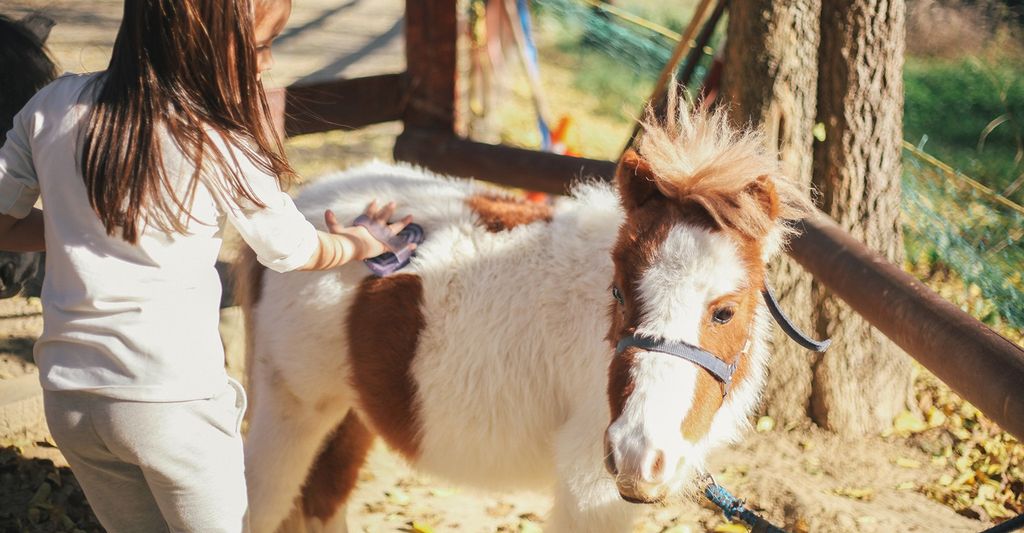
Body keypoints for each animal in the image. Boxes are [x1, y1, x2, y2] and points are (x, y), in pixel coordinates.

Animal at [238, 105, 815, 532]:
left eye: (725, 311)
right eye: (618, 292)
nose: (639, 455)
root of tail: (303, 213)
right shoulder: (590, 489)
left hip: (351, 413)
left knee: (322, 500)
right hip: (289, 413)